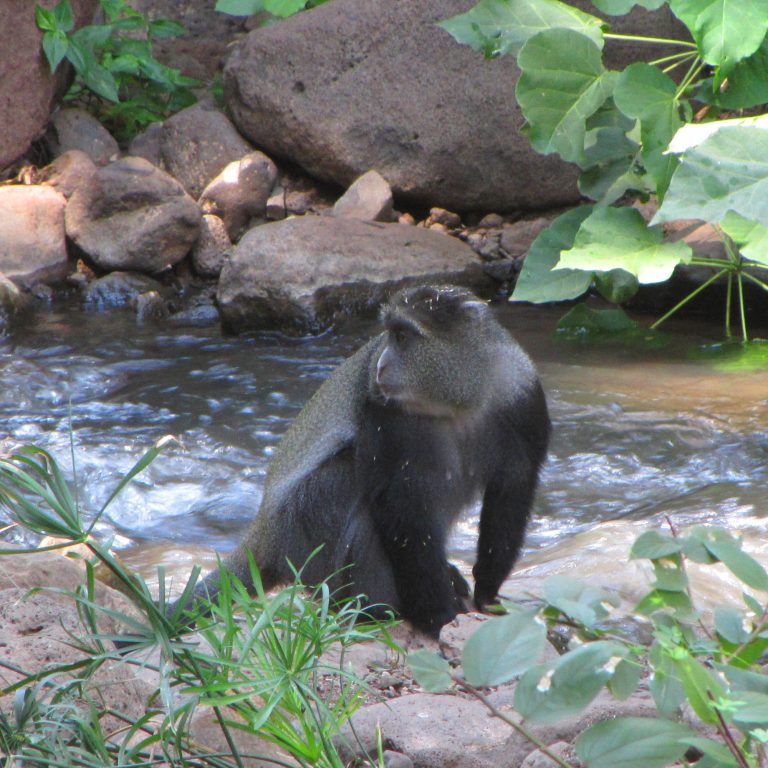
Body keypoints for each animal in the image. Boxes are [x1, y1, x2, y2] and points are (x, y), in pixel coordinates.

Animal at [174, 285, 550, 638]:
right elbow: (404, 510)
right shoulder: (385, 410)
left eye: (403, 336)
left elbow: (512, 489)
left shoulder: (521, 392)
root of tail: (267, 534)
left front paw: (487, 591)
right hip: (305, 531)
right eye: (390, 334)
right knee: (357, 483)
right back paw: (376, 610)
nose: (382, 365)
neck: (459, 400)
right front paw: (438, 614)